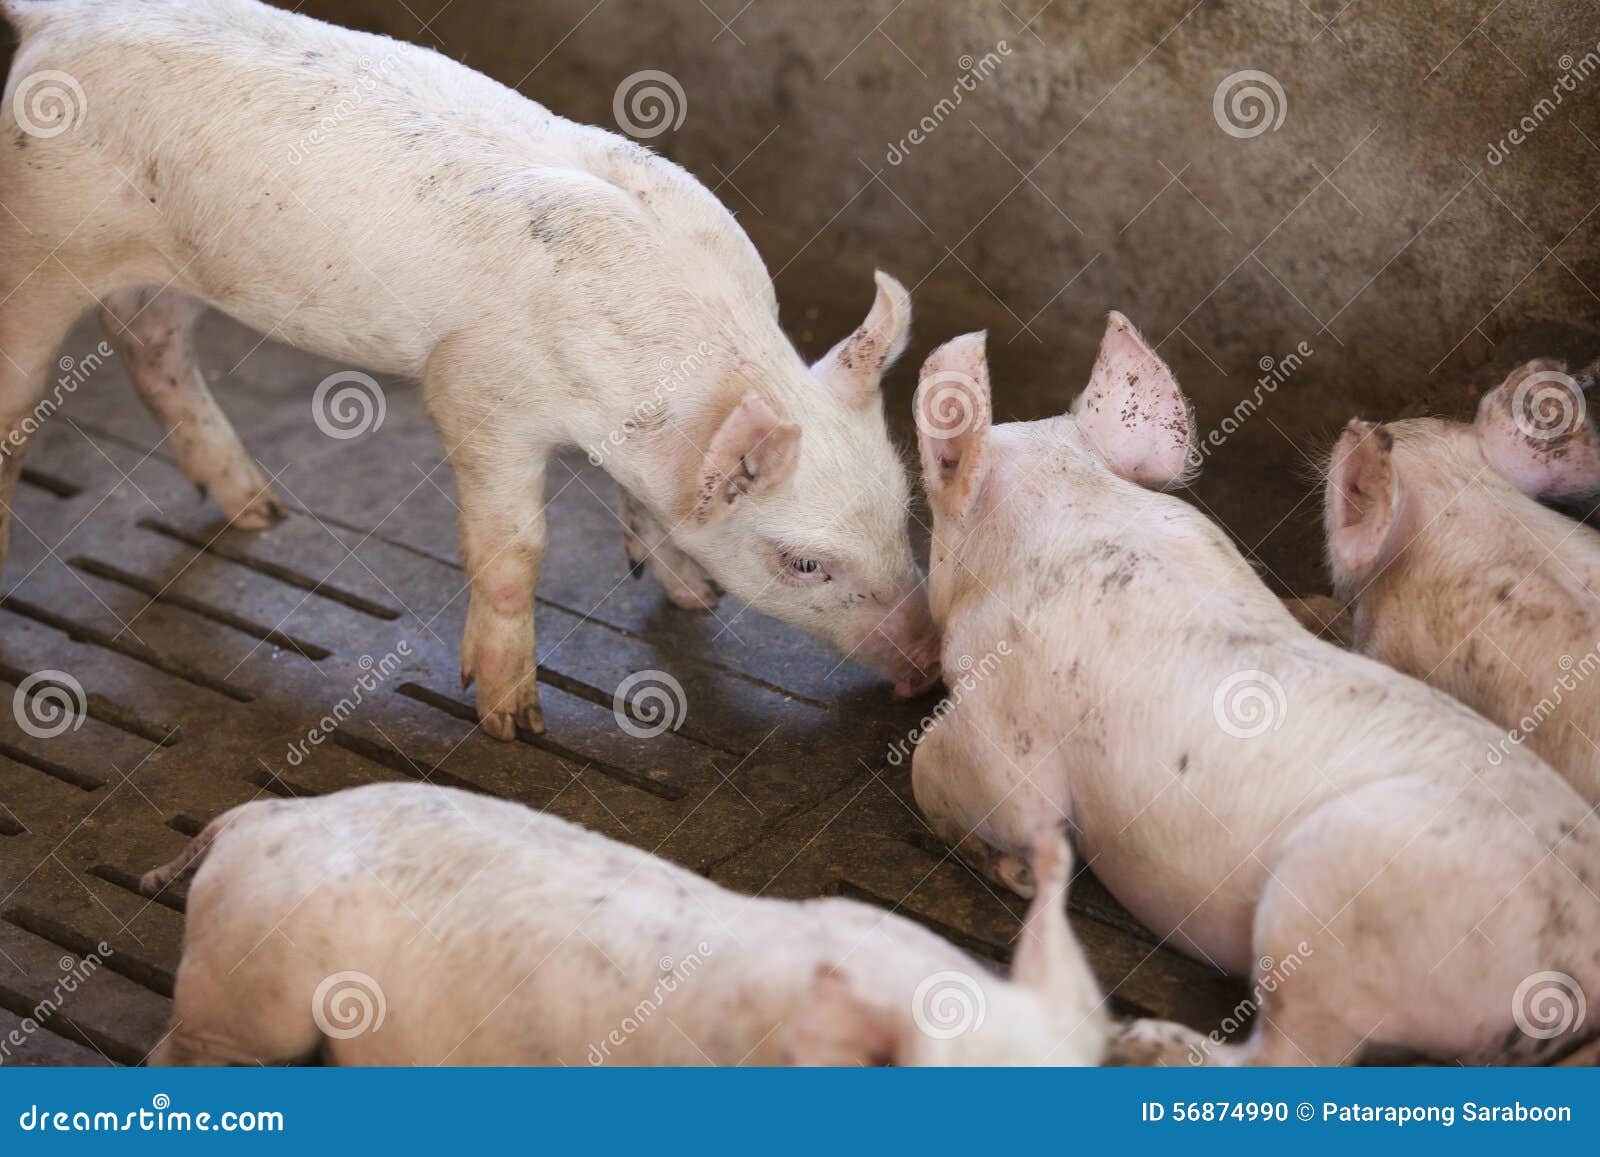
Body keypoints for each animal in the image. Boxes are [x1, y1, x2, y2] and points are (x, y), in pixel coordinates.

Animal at [0, 0, 939, 740]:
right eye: (805, 564)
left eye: (906, 513)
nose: (929, 666)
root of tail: (56, 17)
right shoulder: (481, 391)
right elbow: (515, 544)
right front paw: (511, 720)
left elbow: (648, 502)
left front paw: (694, 598)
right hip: (39, 247)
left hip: (178, 274)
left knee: (148, 341)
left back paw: (262, 513)